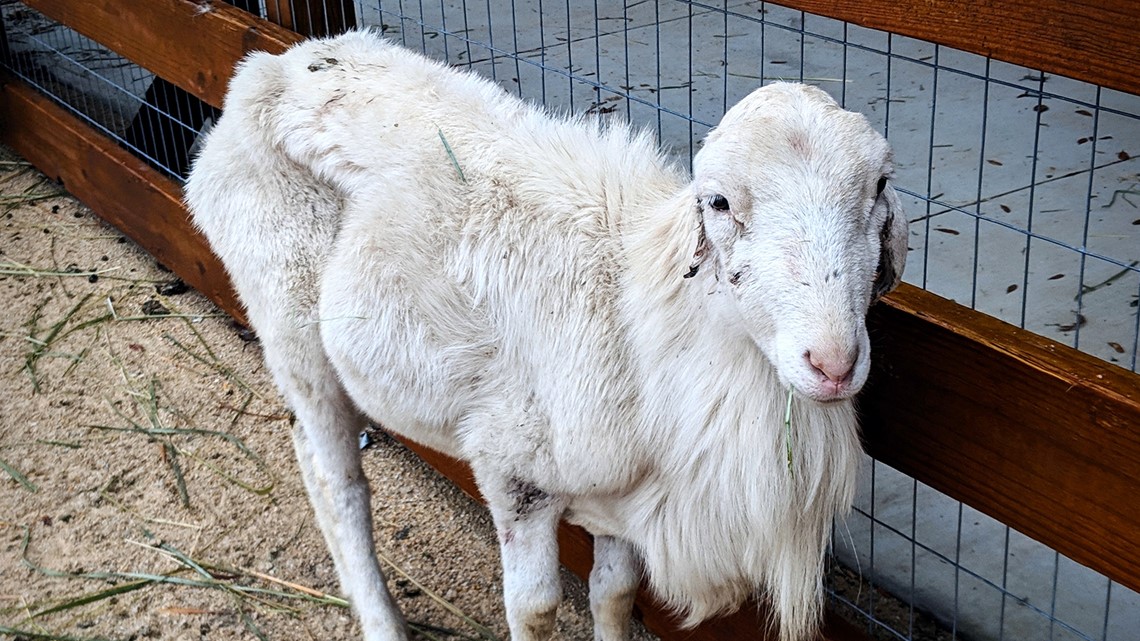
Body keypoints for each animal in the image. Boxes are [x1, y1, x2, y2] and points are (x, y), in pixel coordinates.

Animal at [184, 29, 907, 641]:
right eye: (719, 201)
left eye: (879, 186)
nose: (833, 362)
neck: (643, 322)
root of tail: (272, 65)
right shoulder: (510, 469)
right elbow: (533, 610)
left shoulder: (627, 501)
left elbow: (615, 594)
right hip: (290, 324)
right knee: (336, 482)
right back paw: (380, 618)